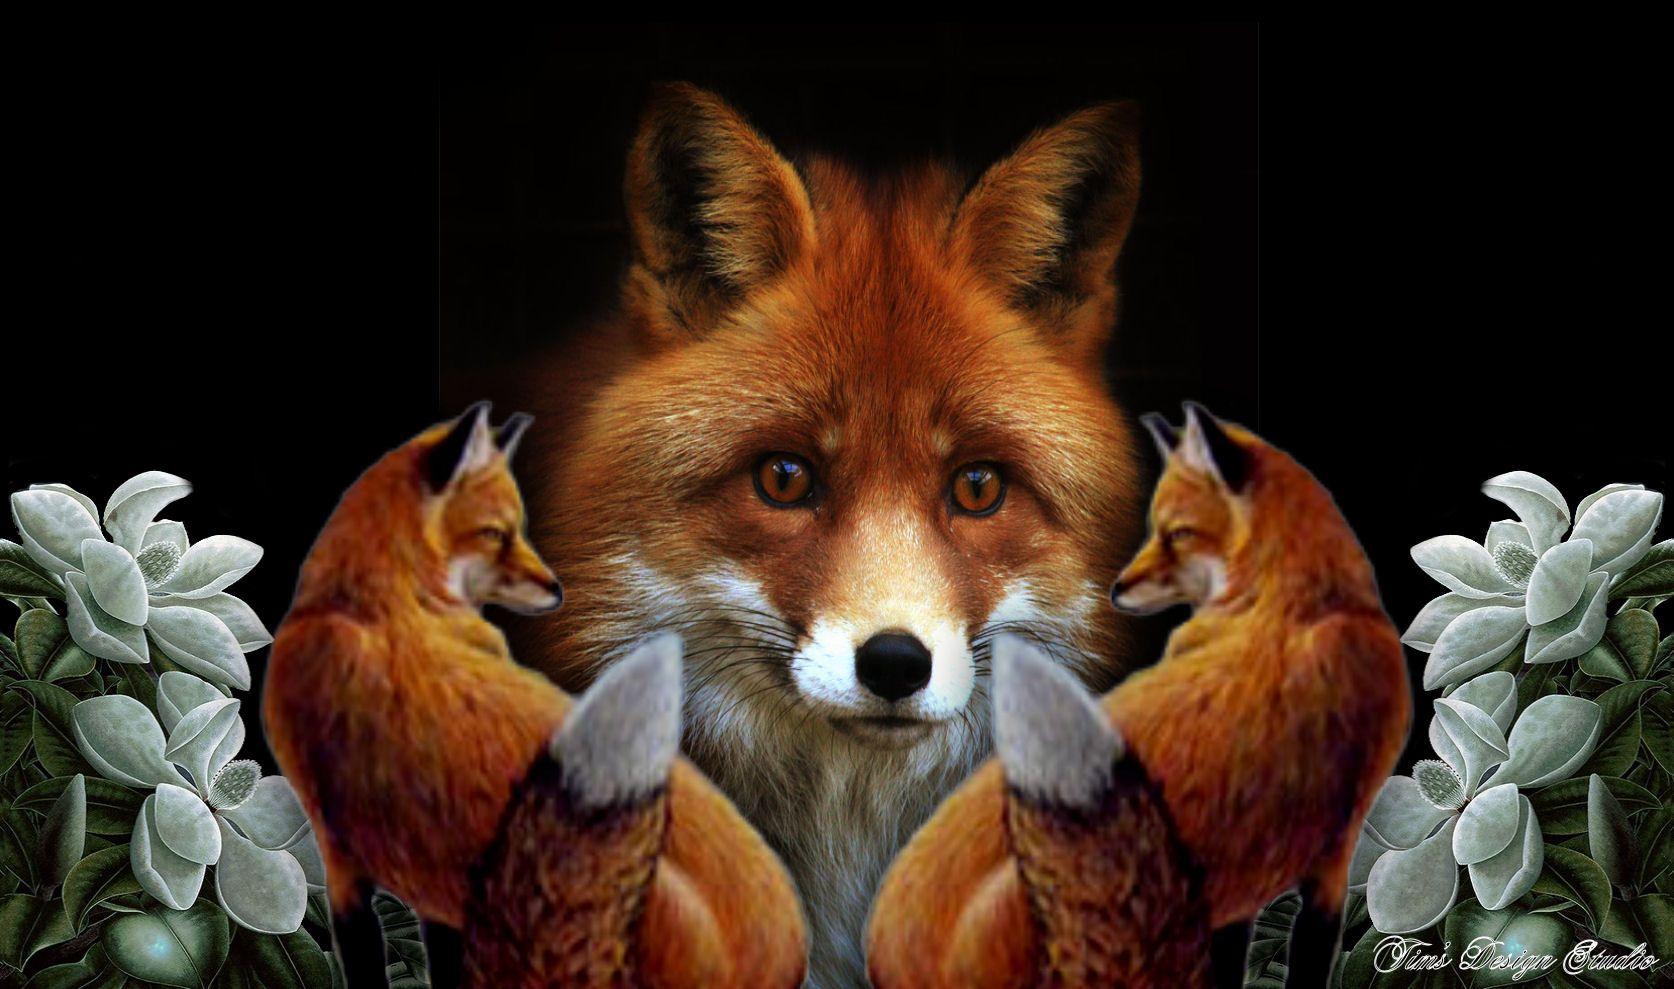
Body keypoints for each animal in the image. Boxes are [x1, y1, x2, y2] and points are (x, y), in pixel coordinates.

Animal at [263, 403, 805, 989]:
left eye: (517, 528)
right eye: (495, 534)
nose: (557, 588)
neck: (378, 604)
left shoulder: (345, 859)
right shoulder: (408, 885)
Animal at [868, 405, 1411, 988]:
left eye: (1179, 534)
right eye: (1156, 528)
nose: (1116, 589)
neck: (1297, 605)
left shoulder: (1272, 880)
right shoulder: (1328, 857)